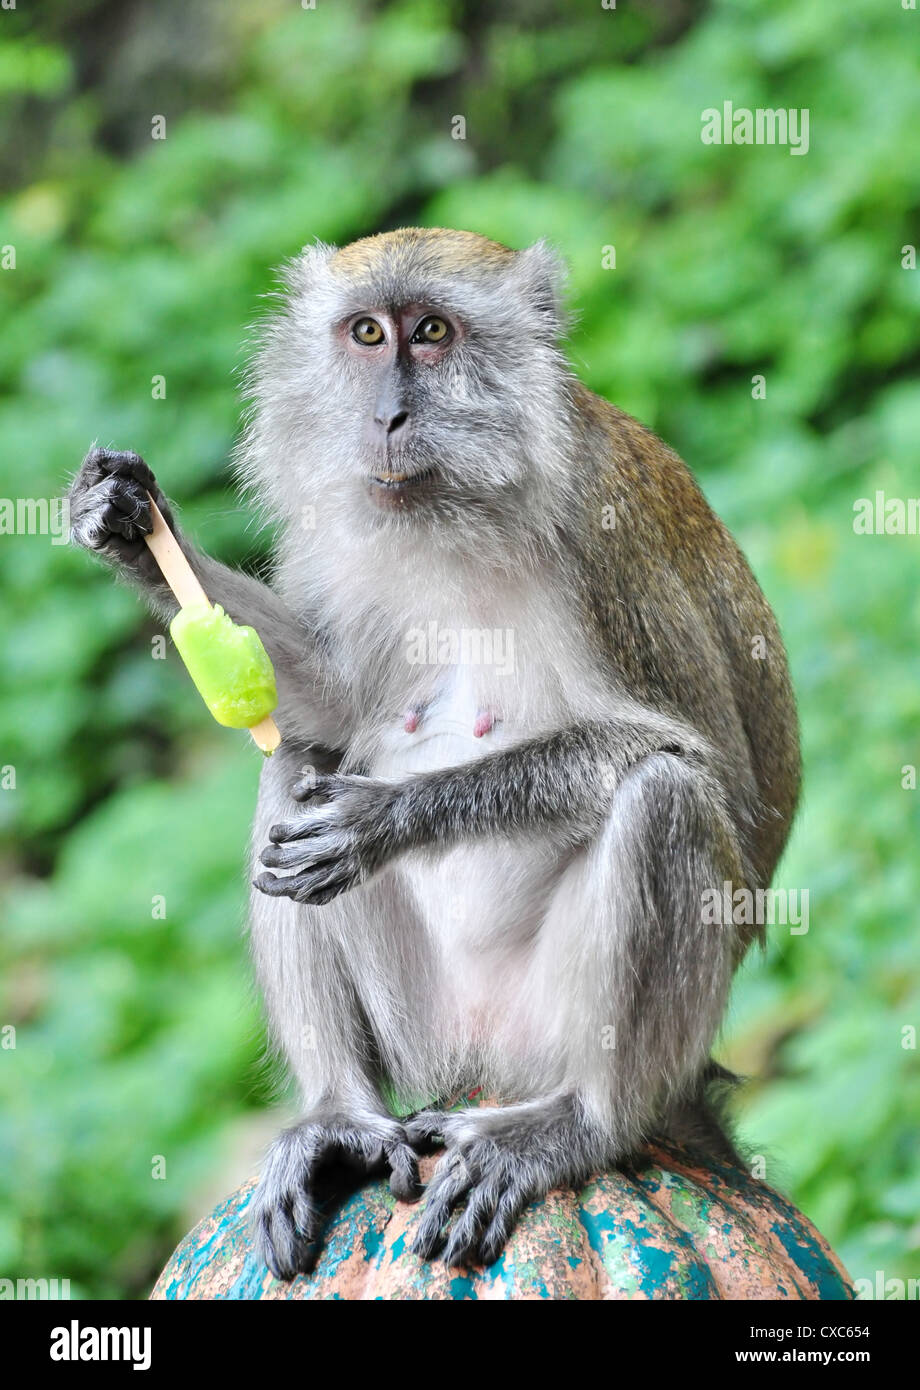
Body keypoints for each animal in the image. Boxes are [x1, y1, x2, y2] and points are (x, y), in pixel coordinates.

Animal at [68, 227, 800, 1277]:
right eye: (369, 334)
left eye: (433, 333)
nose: (388, 415)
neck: (458, 511)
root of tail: (483, 1066)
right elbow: (323, 703)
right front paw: (126, 521)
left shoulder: (602, 544)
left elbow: (701, 765)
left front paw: (386, 818)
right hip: (429, 1029)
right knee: (297, 762)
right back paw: (340, 1116)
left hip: (549, 1032)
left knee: (664, 797)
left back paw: (582, 1124)